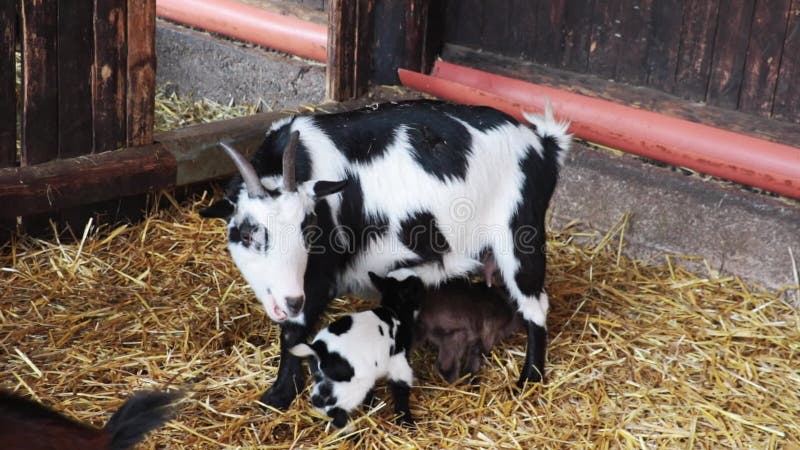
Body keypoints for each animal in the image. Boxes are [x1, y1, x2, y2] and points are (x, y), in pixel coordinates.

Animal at [200, 100, 570, 408]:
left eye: (309, 228)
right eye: (249, 231)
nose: (289, 301)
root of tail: (543, 144)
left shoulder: (319, 276)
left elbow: (294, 332)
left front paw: (279, 395)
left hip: (520, 238)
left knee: (535, 306)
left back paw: (530, 378)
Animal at [289, 272, 420, 429]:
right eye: (411, 287)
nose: (418, 278)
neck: (394, 310)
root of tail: (320, 349)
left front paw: (370, 405)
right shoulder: (398, 359)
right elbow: (401, 387)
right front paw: (406, 420)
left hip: (324, 378)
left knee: (318, 399)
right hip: (353, 385)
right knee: (334, 407)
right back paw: (349, 429)